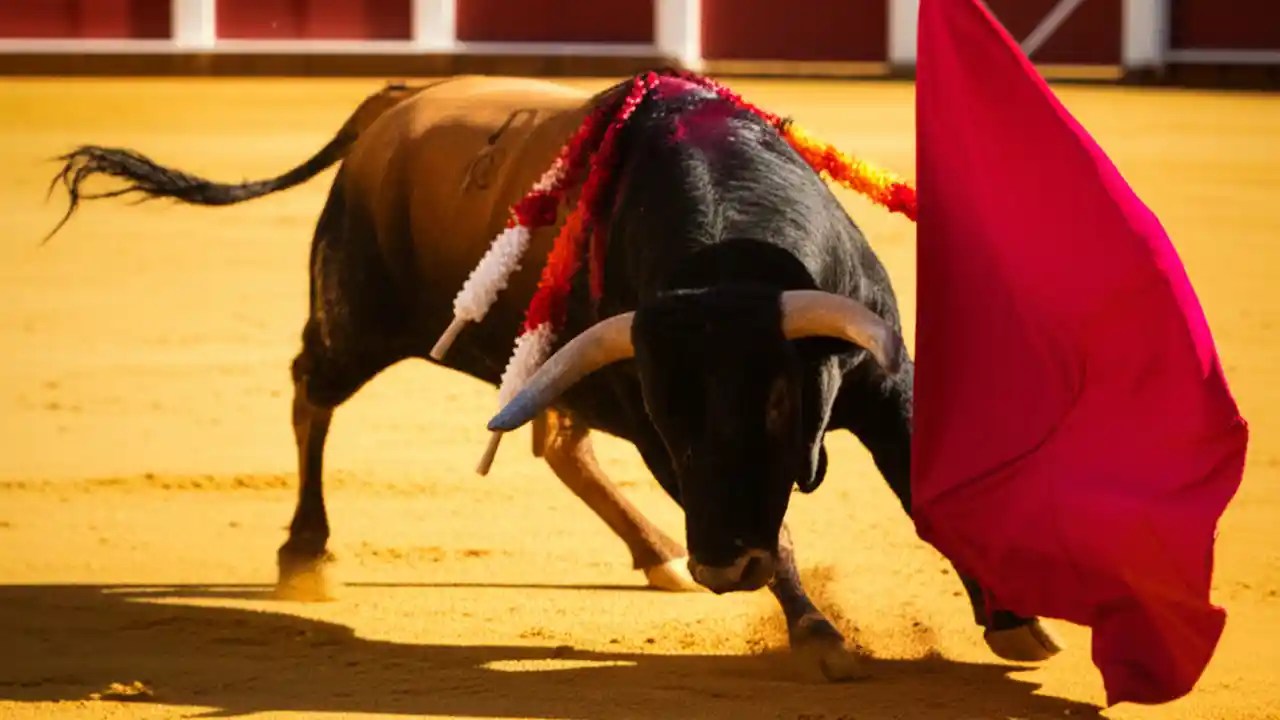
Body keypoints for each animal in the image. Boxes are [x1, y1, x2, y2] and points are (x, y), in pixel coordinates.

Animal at [45, 71, 1061, 678]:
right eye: (670, 408)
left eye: (778, 399)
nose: (722, 566)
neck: (731, 264)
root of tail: (397, 102)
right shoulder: (656, 432)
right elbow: (777, 530)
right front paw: (817, 631)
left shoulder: (887, 389)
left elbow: (929, 496)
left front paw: (1016, 621)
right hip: (356, 319)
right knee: (311, 392)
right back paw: (306, 553)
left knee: (559, 448)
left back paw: (656, 556)